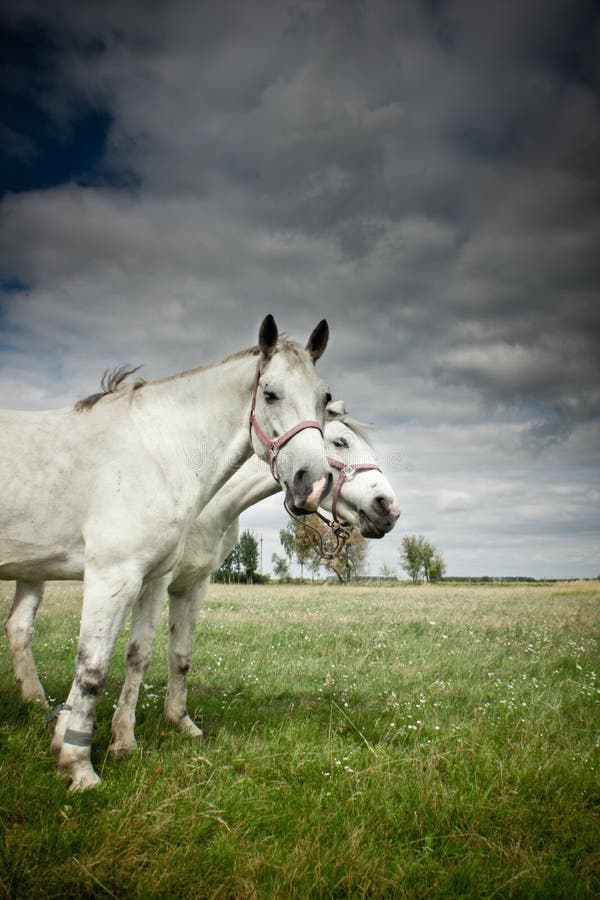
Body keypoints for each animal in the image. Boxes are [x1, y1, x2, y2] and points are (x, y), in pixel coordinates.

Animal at [0, 315, 331, 789]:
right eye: (269, 394)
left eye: (324, 399)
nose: (313, 484)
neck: (156, 451)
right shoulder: (111, 578)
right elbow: (92, 669)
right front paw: (79, 766)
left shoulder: (152, 579)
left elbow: (138, 654)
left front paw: (120, 743)